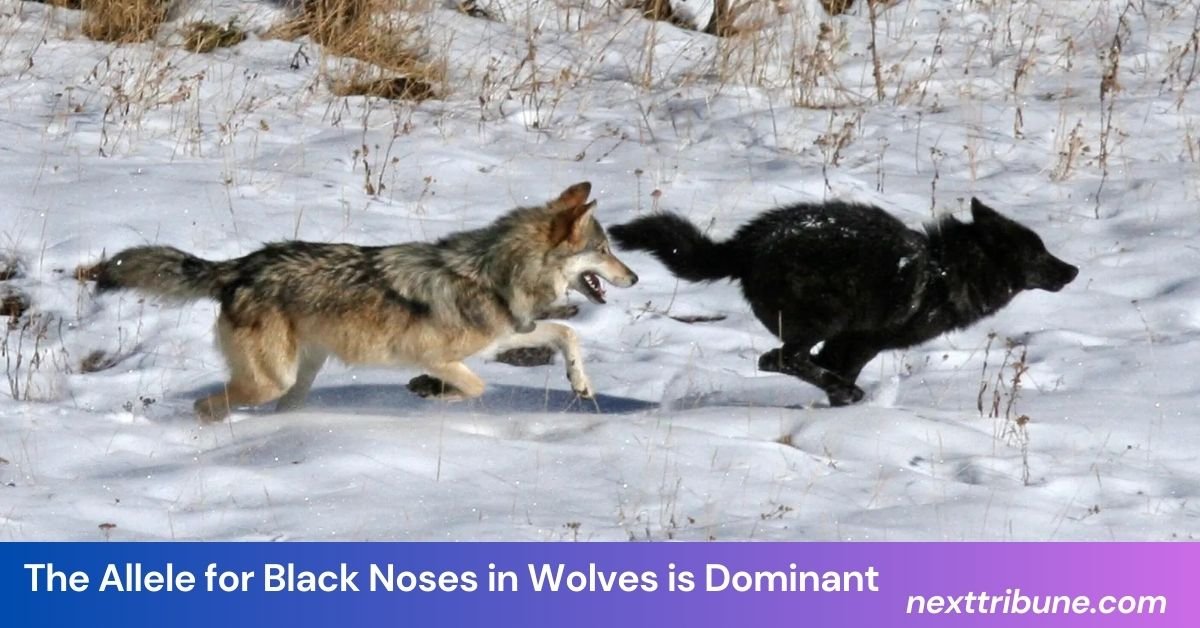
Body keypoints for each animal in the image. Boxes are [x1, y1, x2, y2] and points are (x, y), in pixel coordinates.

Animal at [83, 182, 637, 421]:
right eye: (605, 250)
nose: (633, 275)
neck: (495, 274)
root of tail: (239, 266)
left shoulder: (504, 335)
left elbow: (567, 332)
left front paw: (581, 383)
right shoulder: (434, 354)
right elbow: (475, 388)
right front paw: (428, 393)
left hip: (295, 381)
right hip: (269, 380)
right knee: (205, 404)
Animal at [609, 198, 1077, 406]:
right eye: (1039, 253)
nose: (1073, 270)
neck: (948, 270)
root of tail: (747, 244)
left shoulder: (845, 347)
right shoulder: (860, 342)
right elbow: (829, 371)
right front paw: (844, 398)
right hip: (825, 321)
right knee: (776, 359)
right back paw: (846, 390)